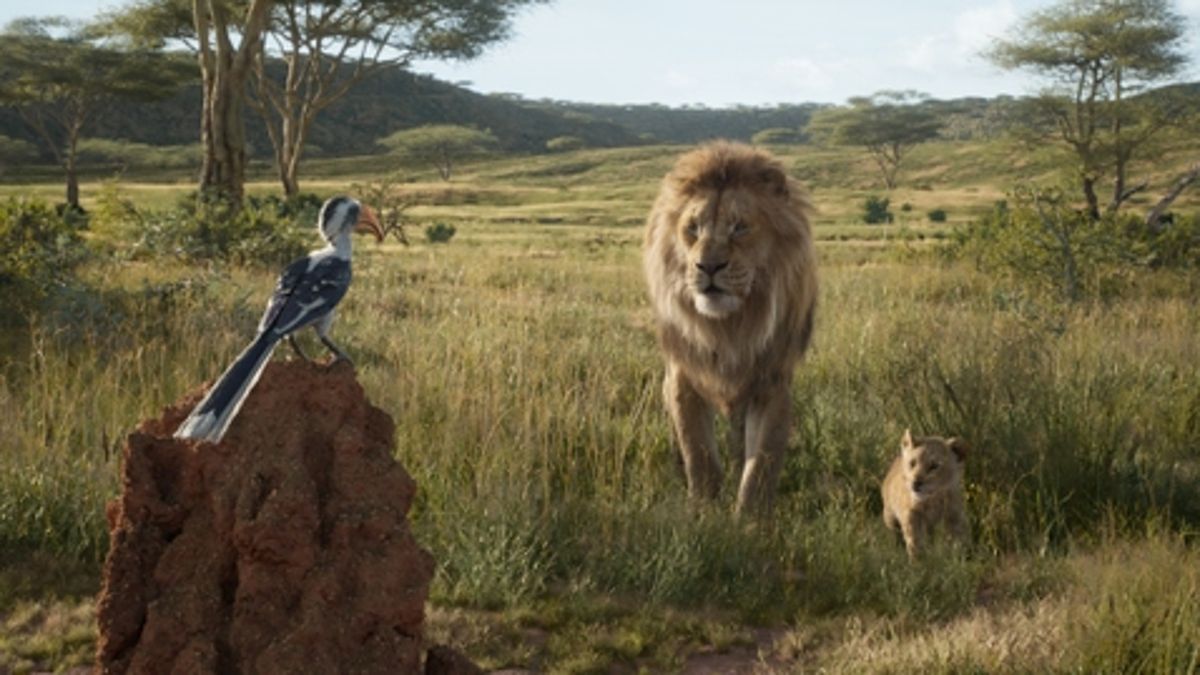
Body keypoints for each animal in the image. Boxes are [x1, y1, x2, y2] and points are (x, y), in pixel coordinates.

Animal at [643, 142, 817, 517]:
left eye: (739, 227)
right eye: (693, 228)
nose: (707, 266)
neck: (729, 327)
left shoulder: (772, 383)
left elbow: (760, 465)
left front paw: (750, 522)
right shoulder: (682, 377)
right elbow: (699, 455)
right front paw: (703, 514)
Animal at [881, 429, 970, 559]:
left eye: (934, 466)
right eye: (912, 463)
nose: (916, 483)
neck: (932, 500)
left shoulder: (954, 515)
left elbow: (958, 540)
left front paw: (960, 557)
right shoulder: (912, 515)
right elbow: (915, 542)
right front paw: (918, 560)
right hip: (889, 515)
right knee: (895, 533)